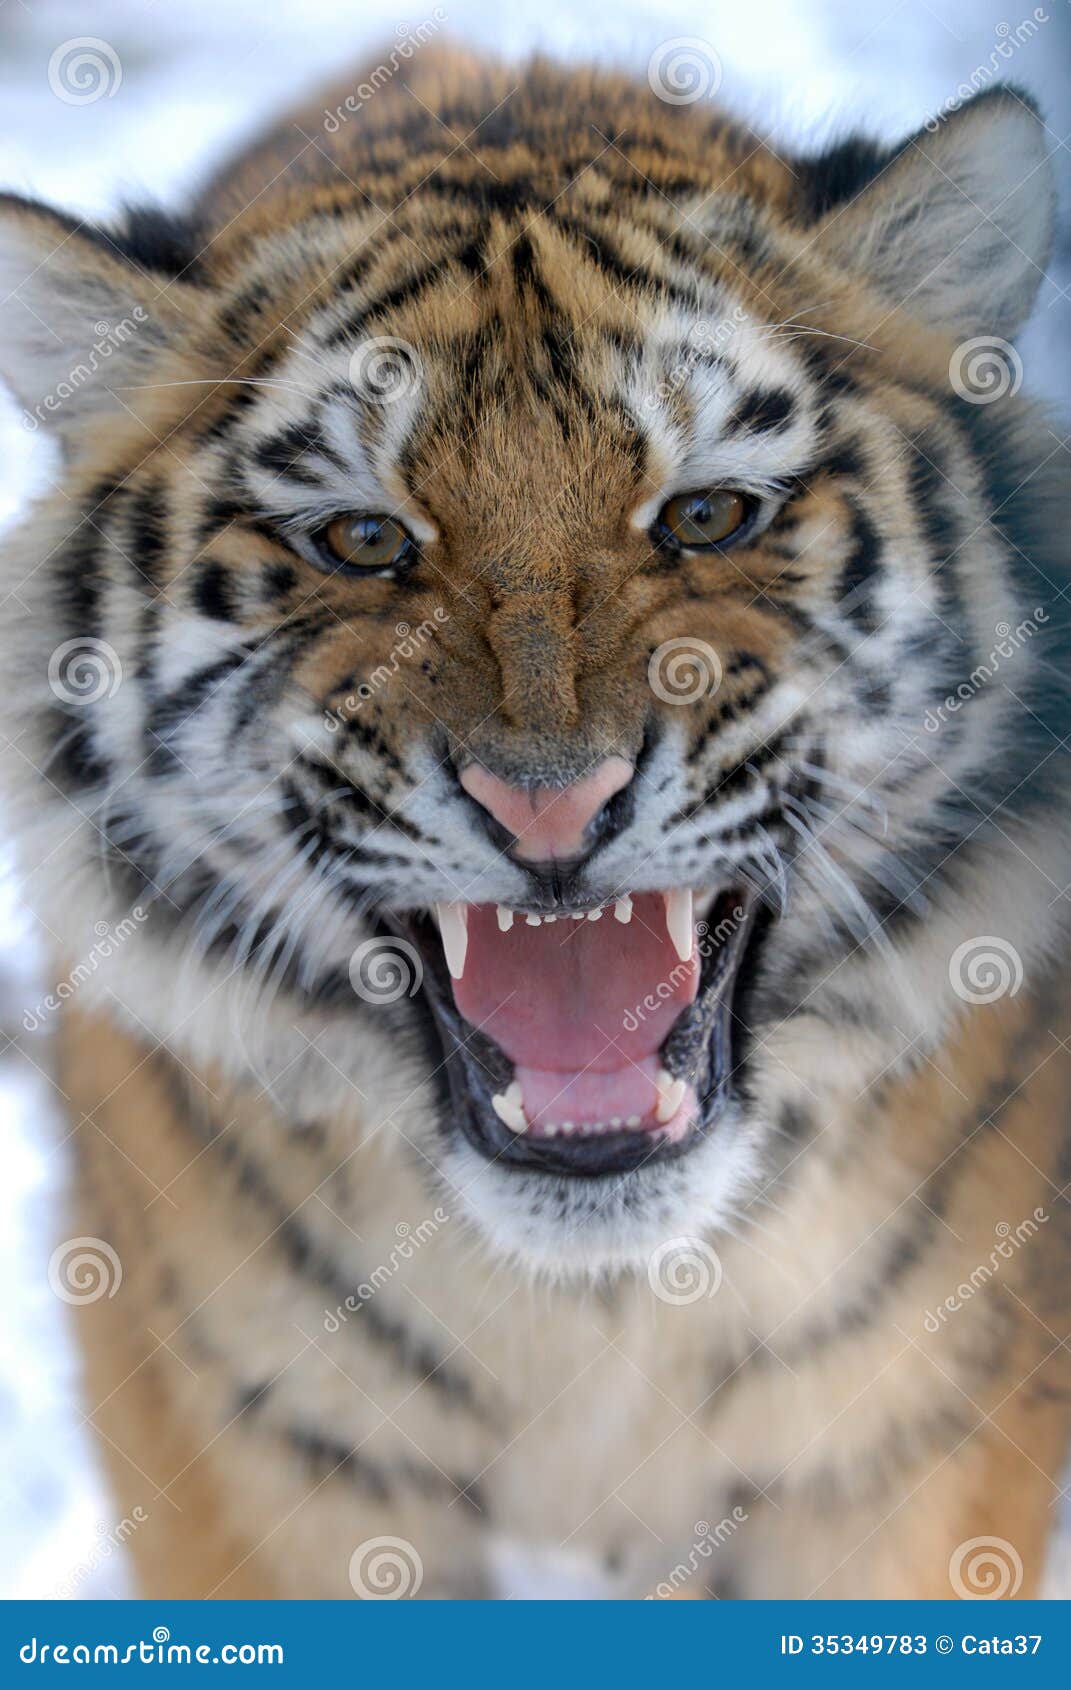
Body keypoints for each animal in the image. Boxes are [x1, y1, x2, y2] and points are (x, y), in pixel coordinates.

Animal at [1, 42, 1069, 1601]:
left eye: (706, 515)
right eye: (361, 540)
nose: (549, 794)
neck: (596, 1308)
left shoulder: (897, 1458)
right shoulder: (254, 1471)